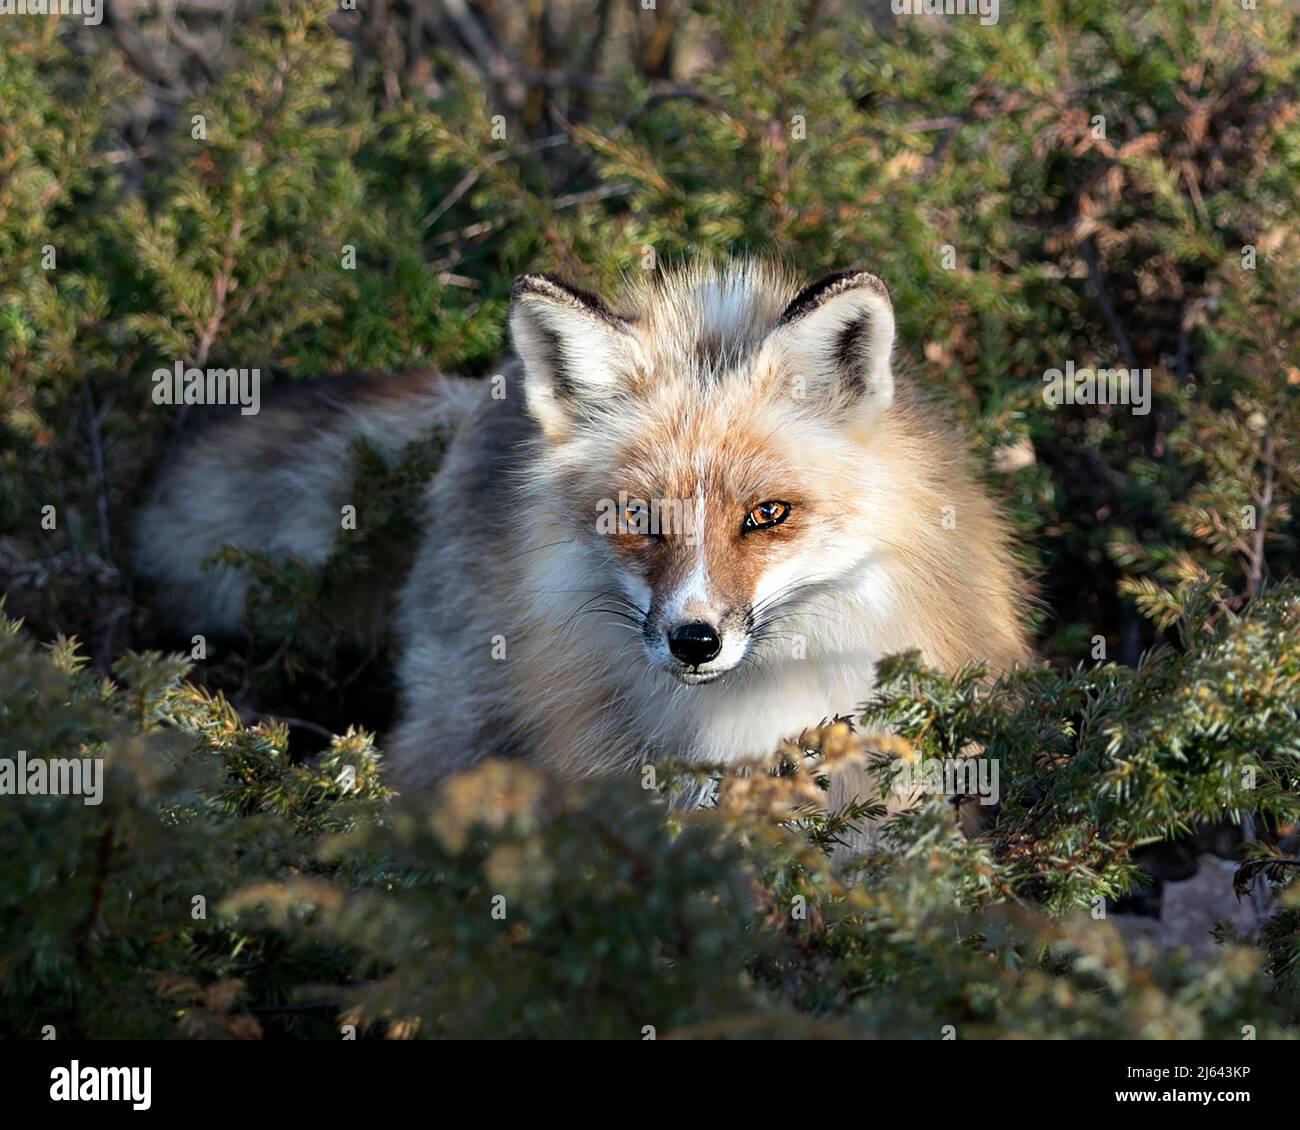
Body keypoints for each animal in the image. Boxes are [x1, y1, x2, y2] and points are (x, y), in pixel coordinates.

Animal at [135, 261, 1031, 849]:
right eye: (637, 516)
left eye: (767, 515)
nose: (694, 641)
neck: (750, 715)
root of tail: (492, 392)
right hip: (468, 716)